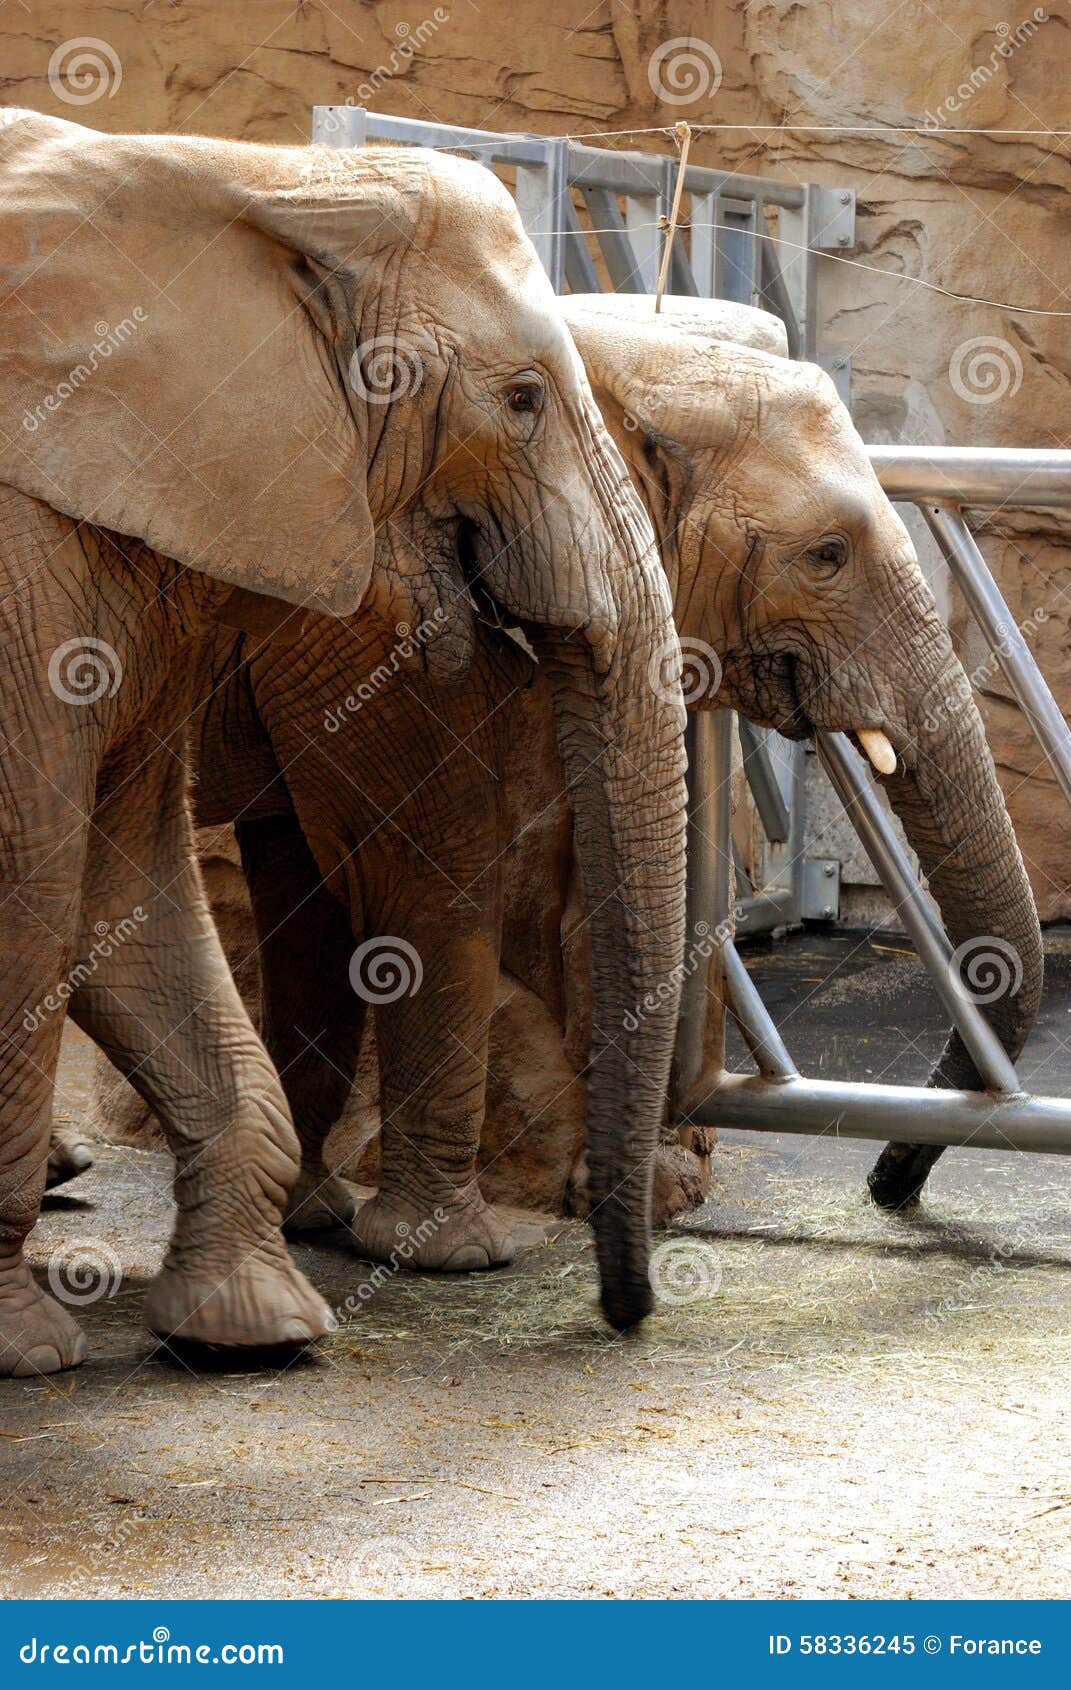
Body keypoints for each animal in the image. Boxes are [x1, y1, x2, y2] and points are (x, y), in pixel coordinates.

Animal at [0, 110, 689, 1375]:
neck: (260, 179)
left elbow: (118, 886)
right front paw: (25, 1348)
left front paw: (249, 1329)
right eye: (523, 399)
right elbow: (30, 885)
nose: (625, 1312)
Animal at [76, 293, 1042, 1269]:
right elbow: (423, 870)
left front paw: (317, 1215)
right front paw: (449, 1253)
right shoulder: (369, 607)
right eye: (826, 555)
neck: (621, 360)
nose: (888, 1188)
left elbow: (309, 890)